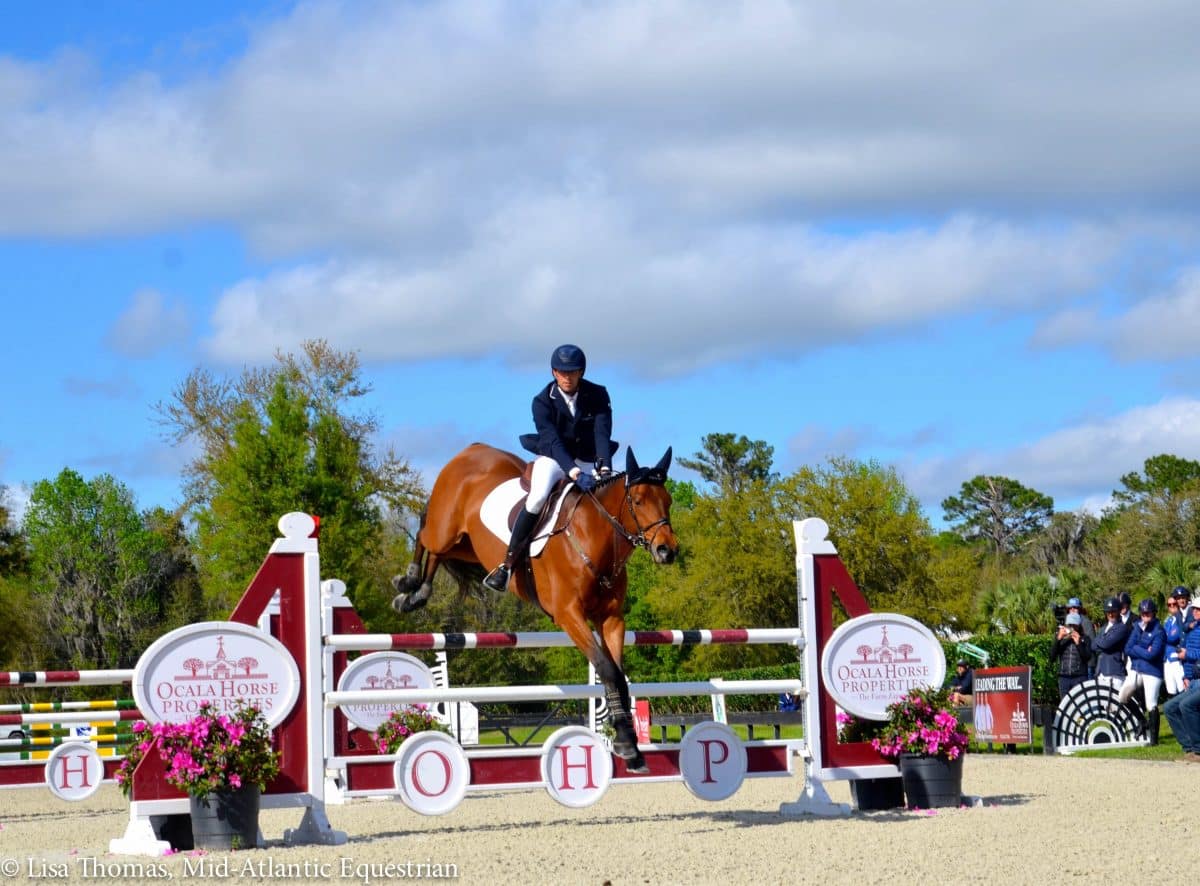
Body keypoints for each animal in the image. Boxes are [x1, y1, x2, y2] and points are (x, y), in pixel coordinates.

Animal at [391, 443, 678, 772]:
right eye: (638, 501)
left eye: (668, 501)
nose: (667, 550)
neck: (593, 539)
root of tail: (471, 450)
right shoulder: (569, 615)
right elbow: (606, 669)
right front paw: (628, 746)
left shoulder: (611, 619)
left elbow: (618, 676)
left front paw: (629, 746)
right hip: (446, 528)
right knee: (425, 535)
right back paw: (408, 584)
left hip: (467, 546)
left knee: (438, 553)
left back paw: (418, 594)